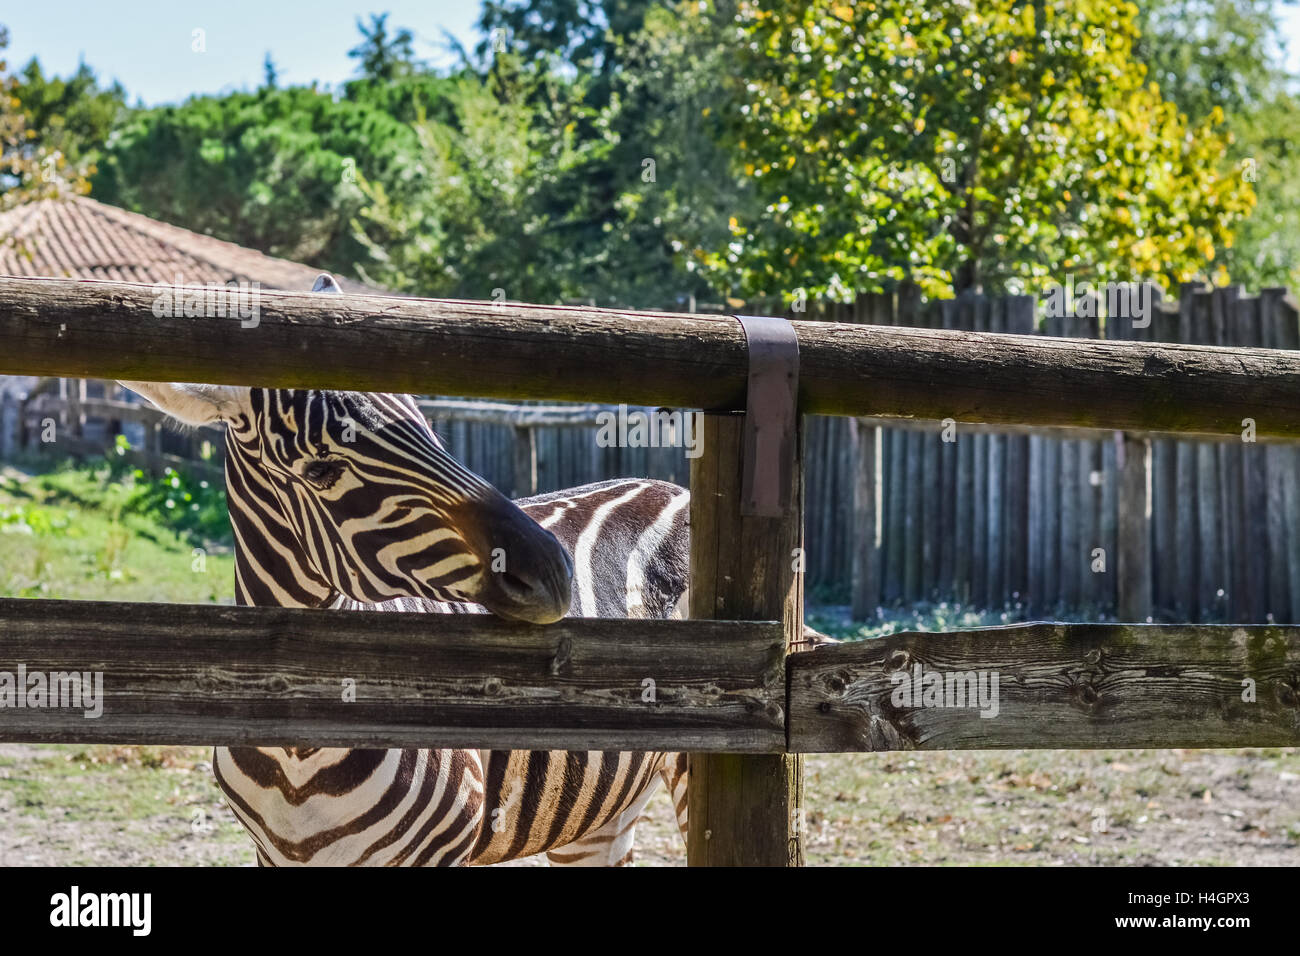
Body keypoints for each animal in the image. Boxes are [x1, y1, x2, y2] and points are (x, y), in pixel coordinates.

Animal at [120, 274, 692, 866]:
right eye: (320, 470)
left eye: (428, 429)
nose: (556, 572)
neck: (298, 755)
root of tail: (670, 486)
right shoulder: (272, 856)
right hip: (599, 809)